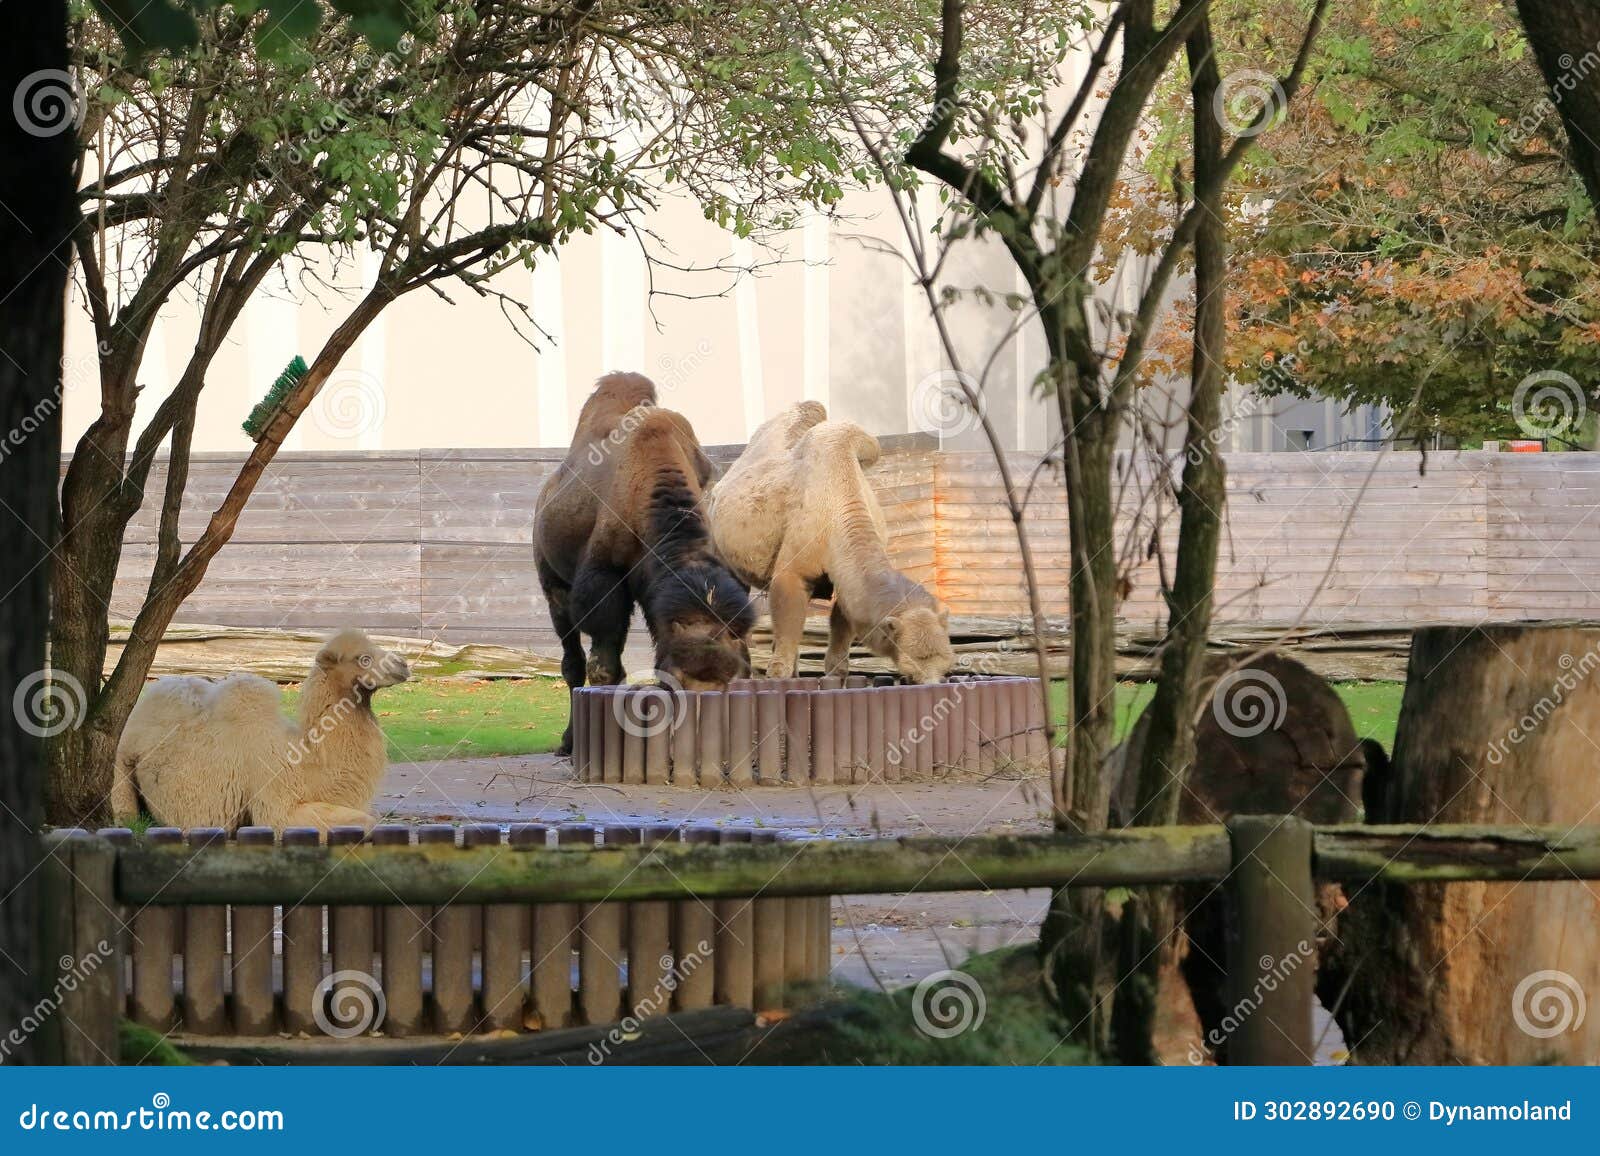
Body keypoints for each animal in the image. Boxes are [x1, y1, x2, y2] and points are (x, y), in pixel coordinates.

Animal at [111, 628, 410, 833]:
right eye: (364, 658)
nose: (403, 665)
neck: (307, 763)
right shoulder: (276, 806)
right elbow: (368, 820)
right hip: (120, 765)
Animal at [534, 372, 756, 753]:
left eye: (733, 677)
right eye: (678, 678)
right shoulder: (603, 582)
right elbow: (604, 666)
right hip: (554, 587)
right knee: (571, 662)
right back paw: (568, 742)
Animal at [707, 401, 954, 683]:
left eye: (946, 668)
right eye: (911, 671)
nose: (932, 682)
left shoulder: (845, 584)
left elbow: (837, 646)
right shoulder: (792, 572)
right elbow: (785, 645)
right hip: (722, 552)